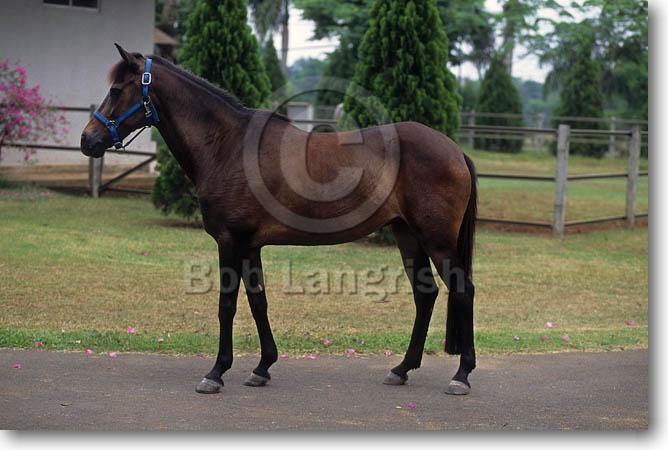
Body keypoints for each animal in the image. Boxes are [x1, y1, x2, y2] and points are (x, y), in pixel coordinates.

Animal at [81, 44, 478, 396]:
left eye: (116, 90)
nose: (88, 140)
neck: (226, 145)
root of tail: (455, 150)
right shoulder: (250, 245)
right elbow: (258, 302)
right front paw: (262, 367)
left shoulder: (230, 241)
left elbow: (227, 306)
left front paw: (216, 372)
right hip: (407, 235)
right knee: (425, 295)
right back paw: (402, 368)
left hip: (436, 240)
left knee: (462, 290)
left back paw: (461, 375)